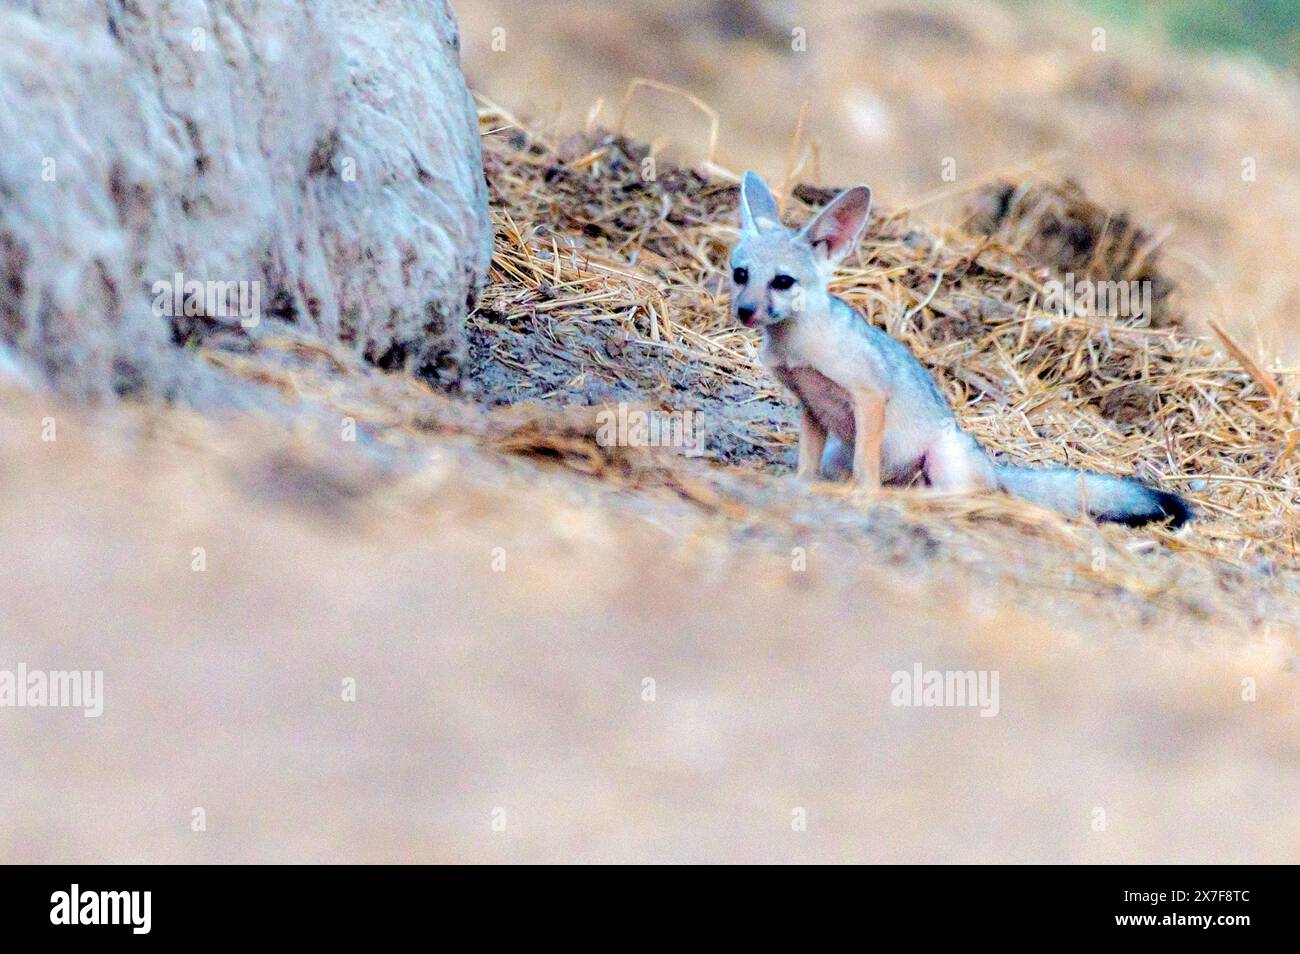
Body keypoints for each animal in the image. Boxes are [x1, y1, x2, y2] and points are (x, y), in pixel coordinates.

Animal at [728, 171, 1192, 528]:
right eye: (740, 274)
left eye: (782, 281)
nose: (745, 311)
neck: (797, 347)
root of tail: (994, 468)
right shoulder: (812, 408)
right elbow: (807, 463)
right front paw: (800, 488)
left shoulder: (871, 396)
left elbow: (866, 469)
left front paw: (863, 497)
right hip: (840, 453)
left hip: (942, 457)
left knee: (964, 496)